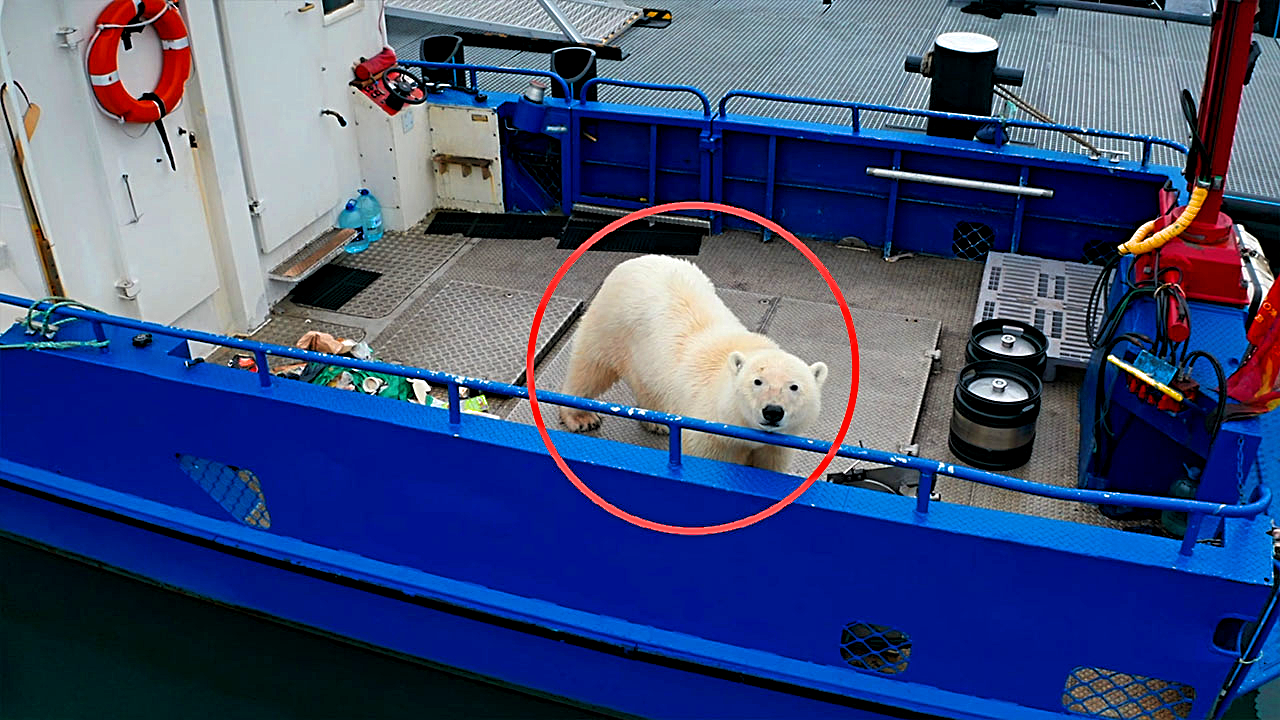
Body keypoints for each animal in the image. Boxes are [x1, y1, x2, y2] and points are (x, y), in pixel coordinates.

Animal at [557, 254, 828, 474]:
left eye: (794, 386)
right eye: (757, 381)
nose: (772, 411)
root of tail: (635, 260)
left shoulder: (776, 446)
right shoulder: (709, 434)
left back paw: (658, 422)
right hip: (612, 323)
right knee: (590, 367)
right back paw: (581, 417)